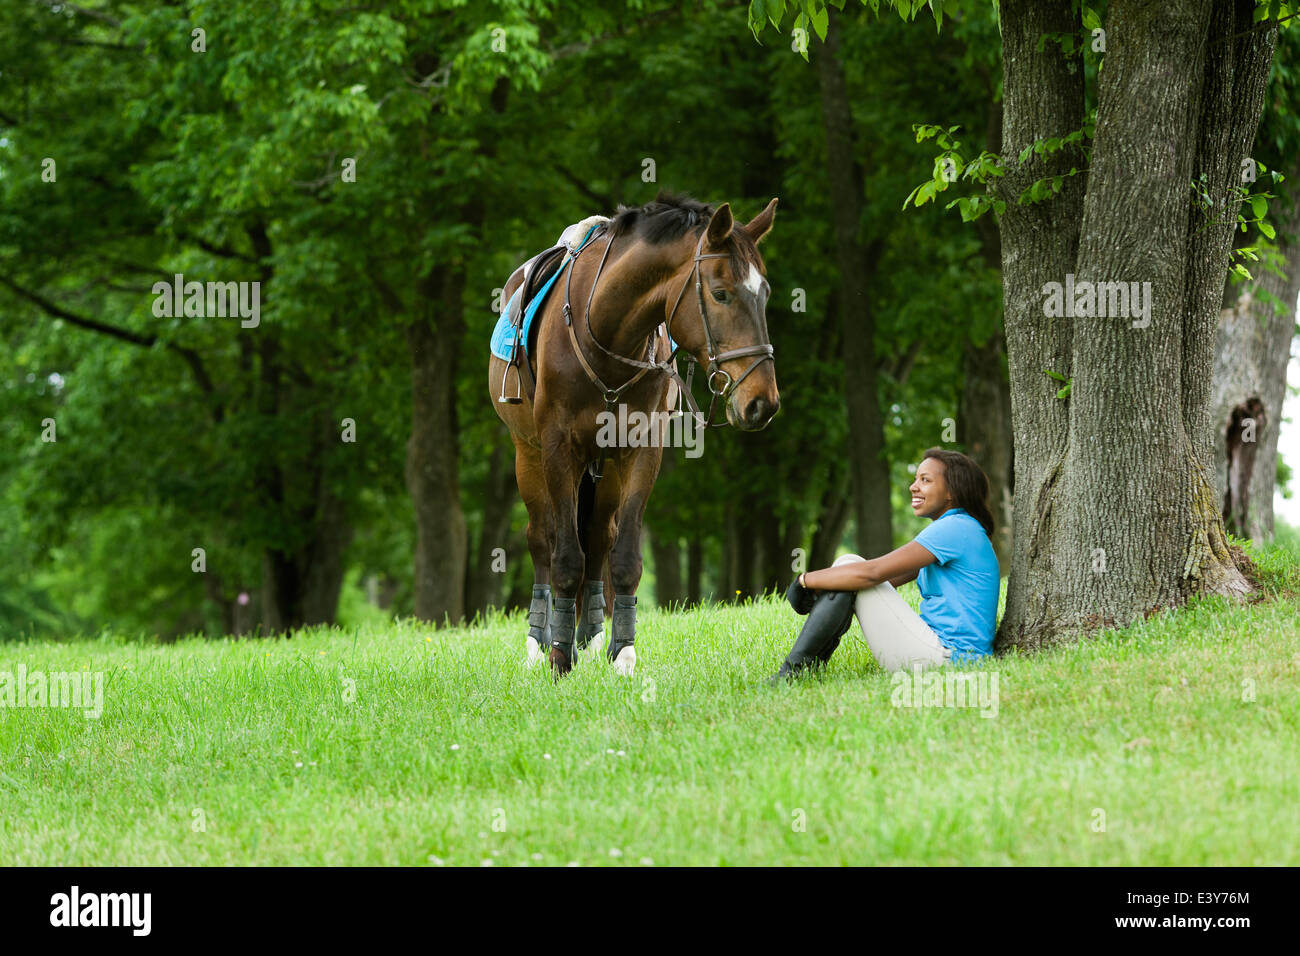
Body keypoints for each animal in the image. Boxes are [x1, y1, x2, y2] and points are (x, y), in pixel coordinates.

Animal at [488, 192, 781, 677]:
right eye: (720, 293)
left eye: (766, 295)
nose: (763, 401)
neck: (606, 336)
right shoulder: (557, 449)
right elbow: (564, 556)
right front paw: (558, 657)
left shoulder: (642, 450)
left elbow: (621, 555)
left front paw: (620, 652)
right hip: (526, 455)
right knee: (542, 538)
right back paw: (538, 640)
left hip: (605, 467)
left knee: (597, 538)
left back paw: (589, 636)